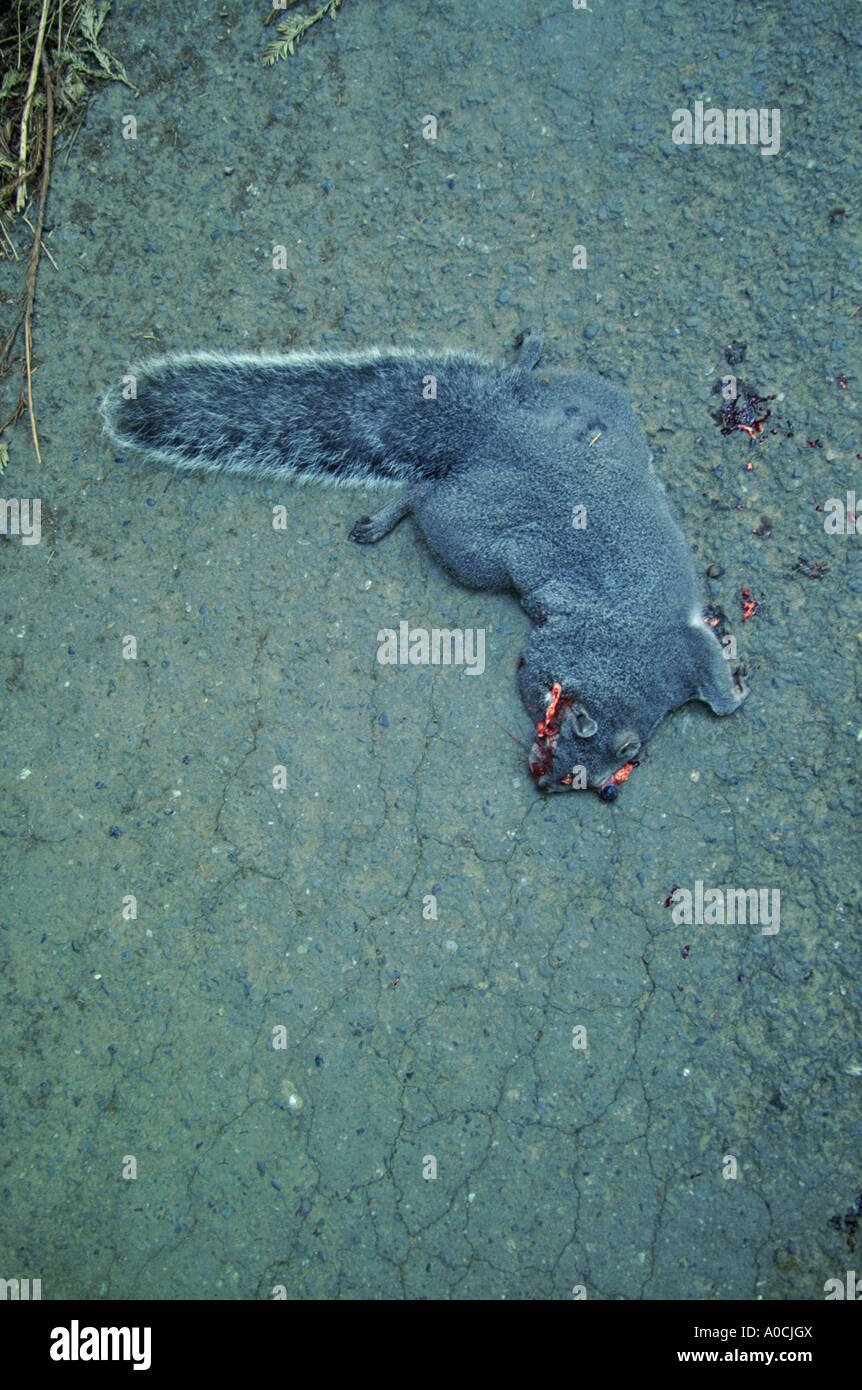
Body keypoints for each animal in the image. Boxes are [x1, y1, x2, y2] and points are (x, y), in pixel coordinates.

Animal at [100, 329, 748, 798]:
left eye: (599, 778)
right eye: (561, 738)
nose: (543, 784)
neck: (635, 669)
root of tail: (491, 427)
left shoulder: (680, 657)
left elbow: (710, 676)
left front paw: (734, 683)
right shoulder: (580, 652)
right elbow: (541, 670)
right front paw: (737, 686)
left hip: (577, 400)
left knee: (518, 387)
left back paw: (527, 355)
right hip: (470, 536)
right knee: (423, 496)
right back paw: (391, 512)